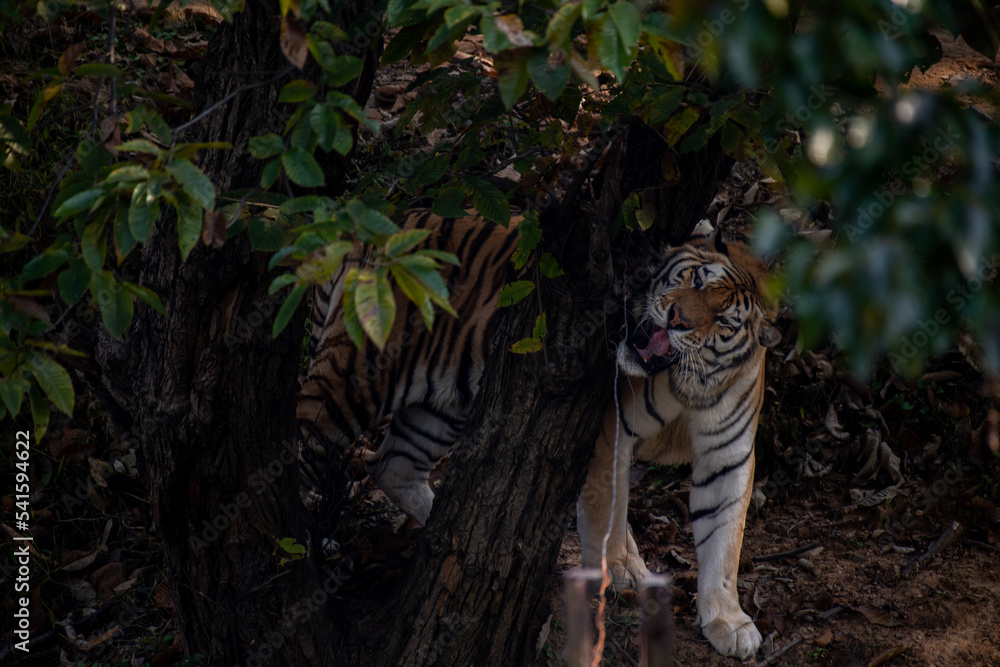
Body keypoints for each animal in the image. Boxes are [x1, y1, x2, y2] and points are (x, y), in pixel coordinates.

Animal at [576, 221, 780, 659]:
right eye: (698, 280)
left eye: (723, 320)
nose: (676, 318)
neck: (690, 389)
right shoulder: (612, 429)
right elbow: (607, 505)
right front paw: (613, 566)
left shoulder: (726, 460)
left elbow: (725, 542)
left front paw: (730, 622)